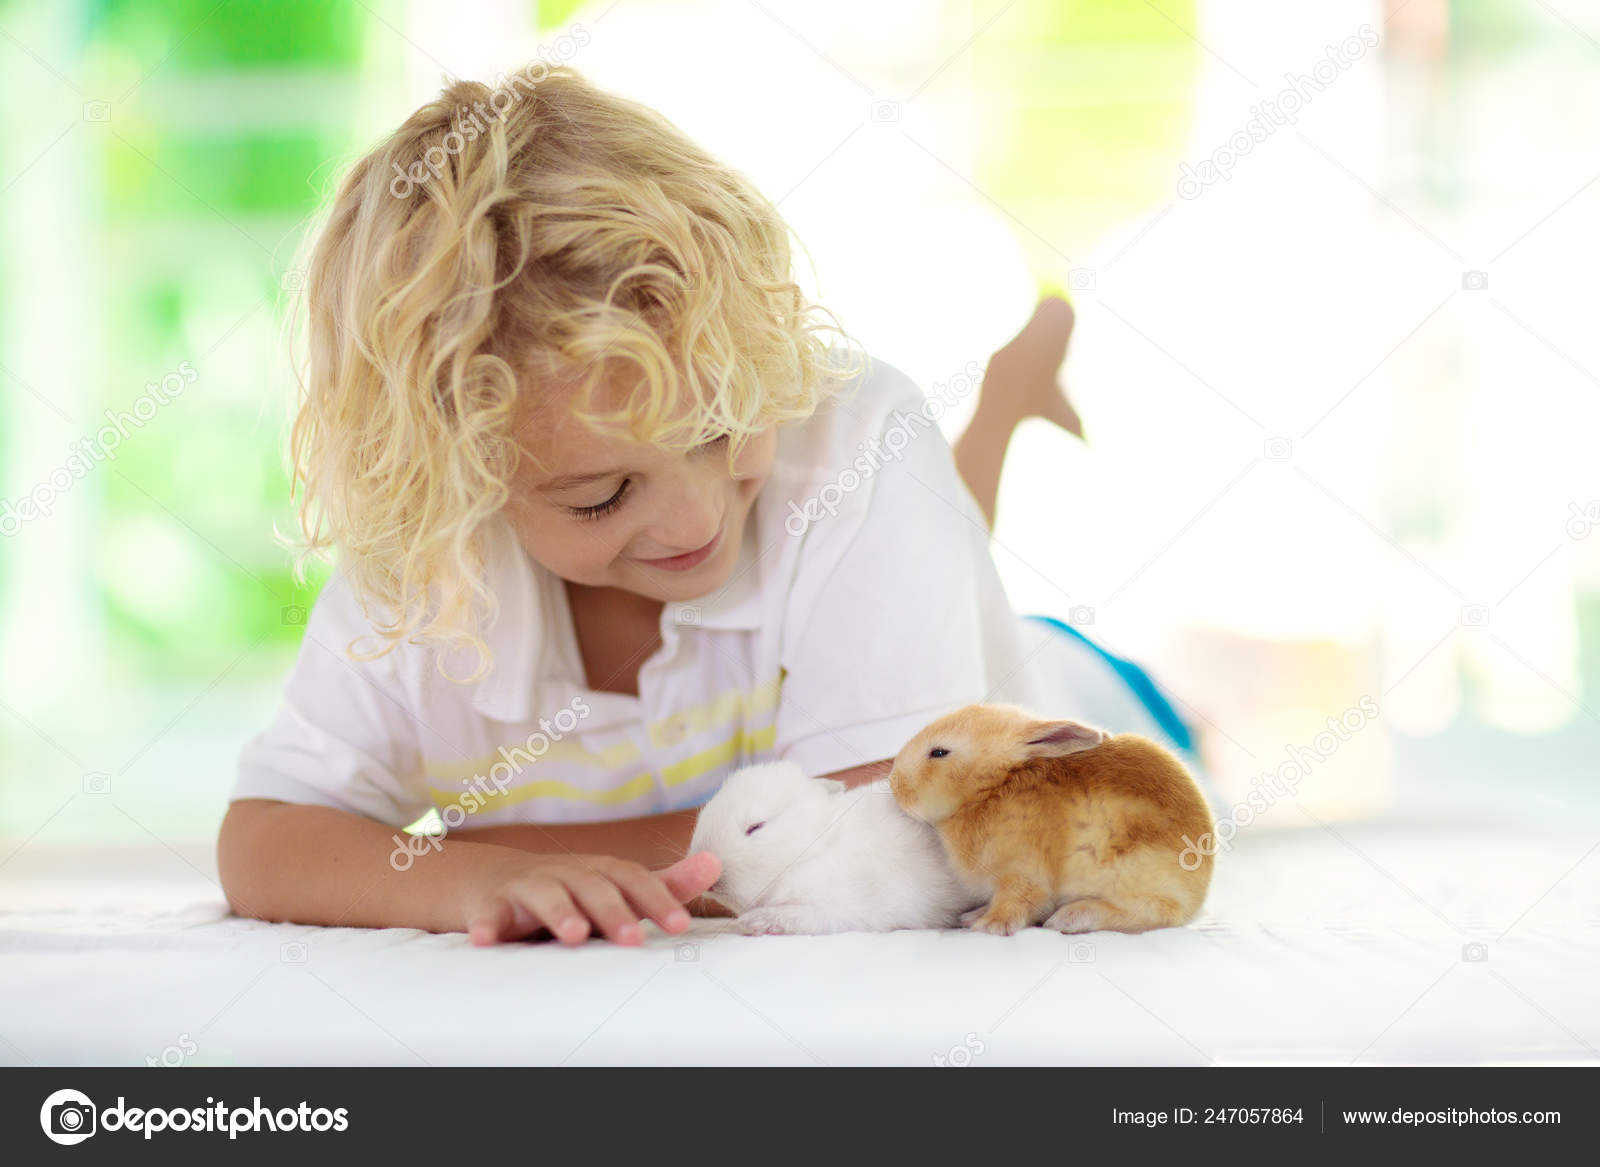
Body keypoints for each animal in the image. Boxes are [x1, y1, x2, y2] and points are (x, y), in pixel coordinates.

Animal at [688, 760, 978, 935]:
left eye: (756, 826)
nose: (711, 882)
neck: (812, 851)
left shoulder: (841, 907)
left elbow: (799, 916)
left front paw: (756, 922)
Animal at [888, 704, 1215, 936]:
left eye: (939, 752)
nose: (894, 784)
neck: (994, 787)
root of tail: (1199, 892)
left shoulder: (1022, 872)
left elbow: (1015, 902)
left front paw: (989, 926)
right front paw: (973, 917)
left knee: (1161, 912)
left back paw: (1071, 918)